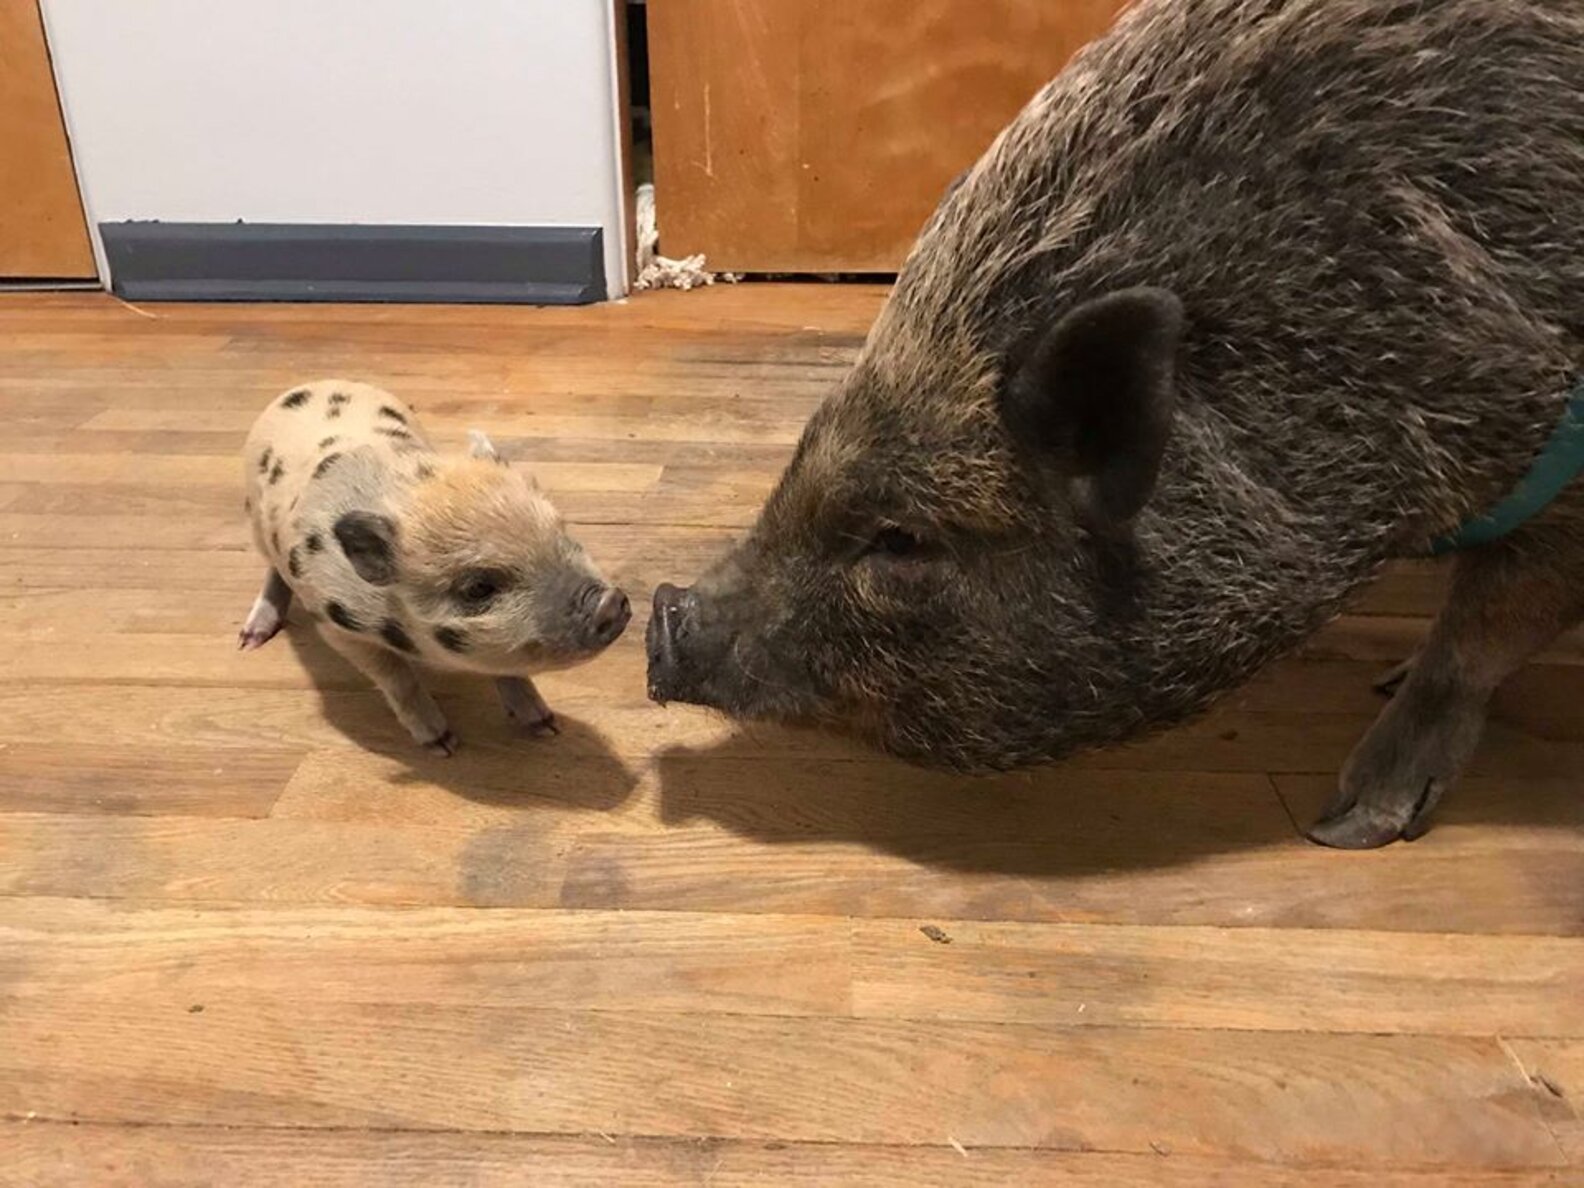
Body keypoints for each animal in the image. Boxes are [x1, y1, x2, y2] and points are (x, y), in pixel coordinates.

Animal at [241, 380, 630, 753]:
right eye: (477, 588)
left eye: (562, 531)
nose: (610, 602)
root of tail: (307, 385)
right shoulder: (335, 626)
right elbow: (398, 680)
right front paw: (444, 746)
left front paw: (546, 726)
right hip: (255, 523)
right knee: (272, 569)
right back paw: (249, 641)